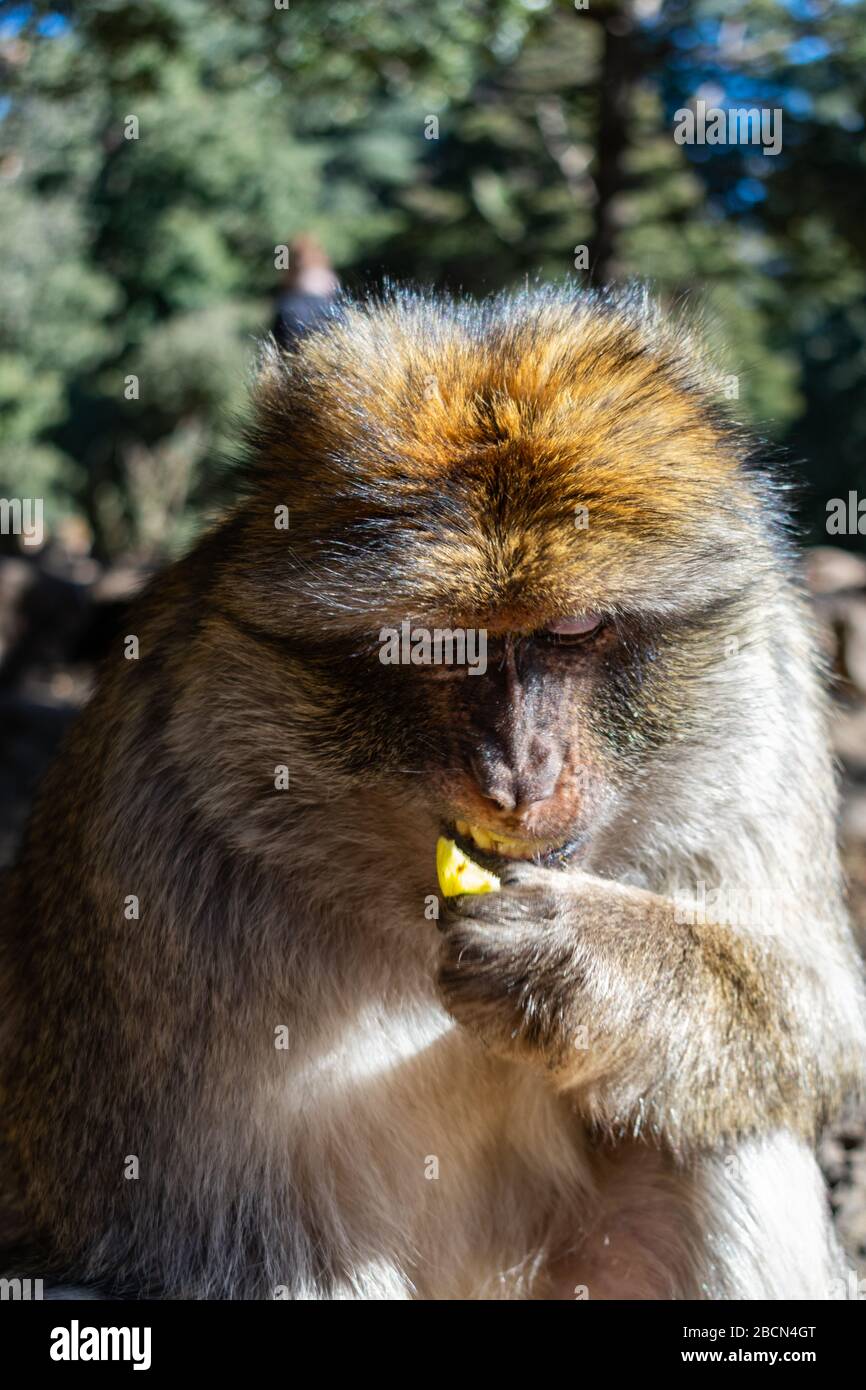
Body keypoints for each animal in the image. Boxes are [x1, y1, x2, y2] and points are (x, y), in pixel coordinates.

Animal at [1, 287, 865, 1301]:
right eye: (434, 646)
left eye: (575, 627)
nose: (520, 774)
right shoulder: (150, 831)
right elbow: (218, 1245)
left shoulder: (769, 725)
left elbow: (824, 1017)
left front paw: (579, 962)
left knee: (730, 1130)